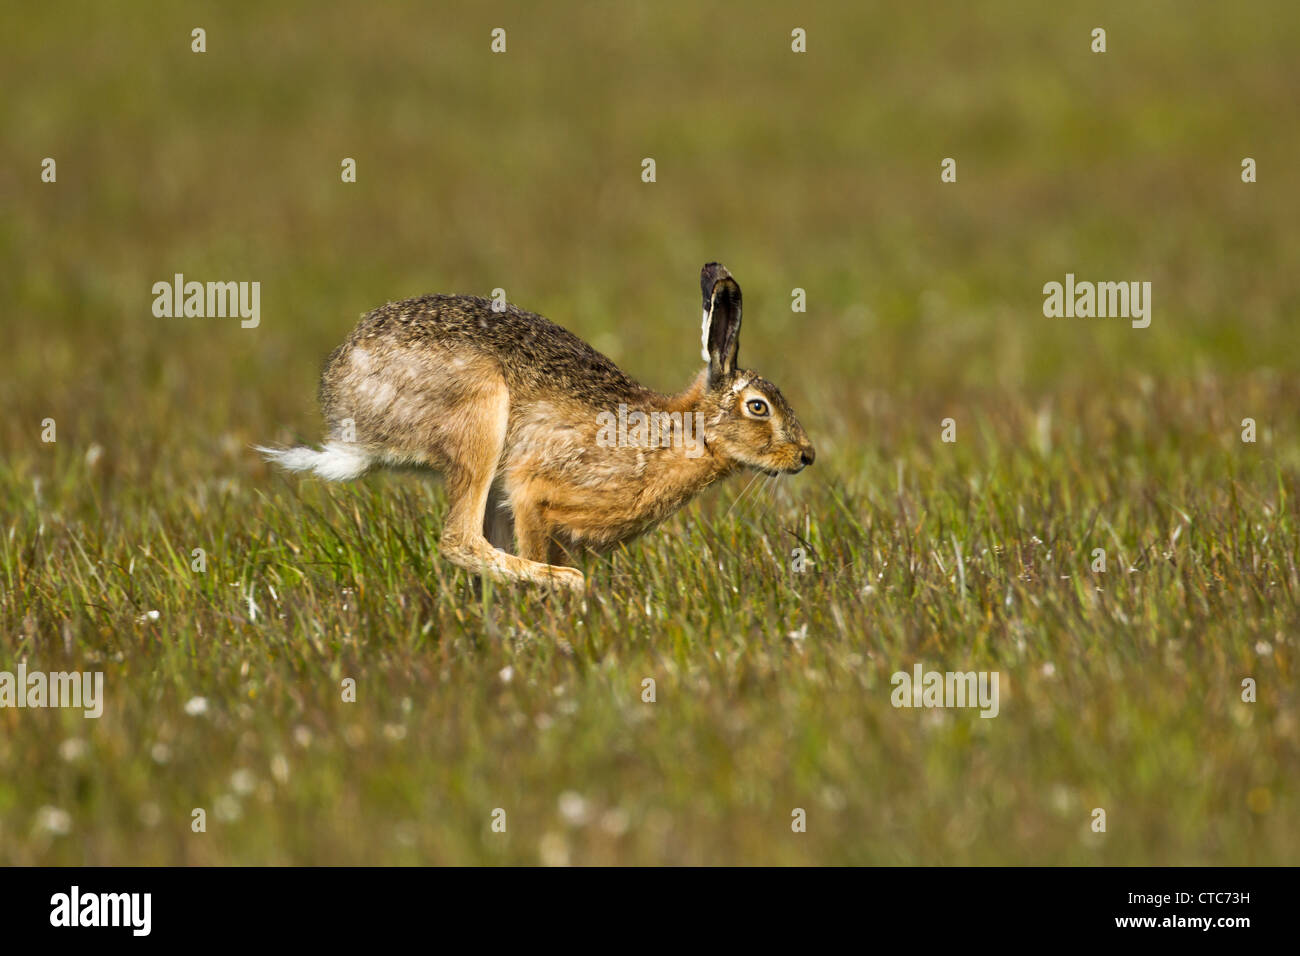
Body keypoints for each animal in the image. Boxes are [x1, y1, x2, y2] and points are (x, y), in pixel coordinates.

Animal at [257, 262, 814, 594]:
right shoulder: (532, 491)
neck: (688, 431)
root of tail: (344, 398)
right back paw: (565, 580)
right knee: (459, 540)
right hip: (480, 418)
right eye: (759, 407)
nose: (806, 456)